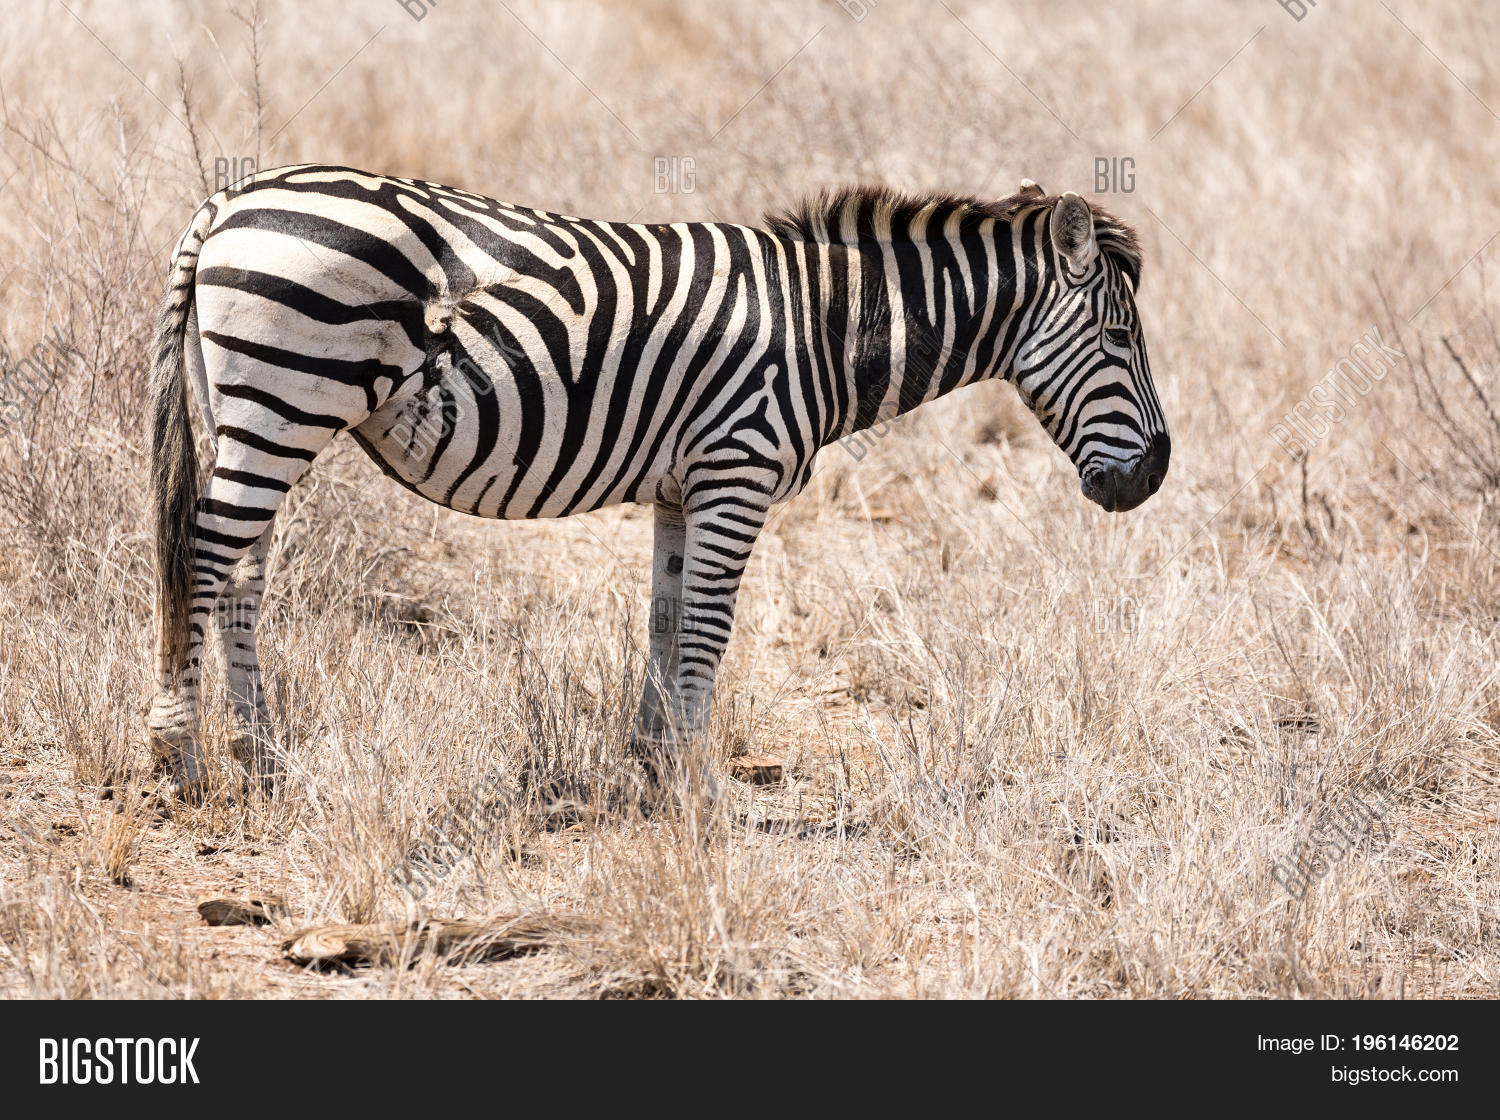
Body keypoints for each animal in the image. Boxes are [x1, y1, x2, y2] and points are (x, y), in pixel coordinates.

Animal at [146, 164, 1169, 795]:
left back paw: (263, 756)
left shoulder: (683, 487)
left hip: (259, 411)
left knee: (242, 575)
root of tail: (232, 197)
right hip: (286, 399)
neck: (823, 328)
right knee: (203, 558)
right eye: (1121, 338)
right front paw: (701, 789)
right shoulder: (736, 470)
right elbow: (710, 631)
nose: (1155, 478)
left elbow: (666, 618)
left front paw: (652, 767)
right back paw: (181, 757)